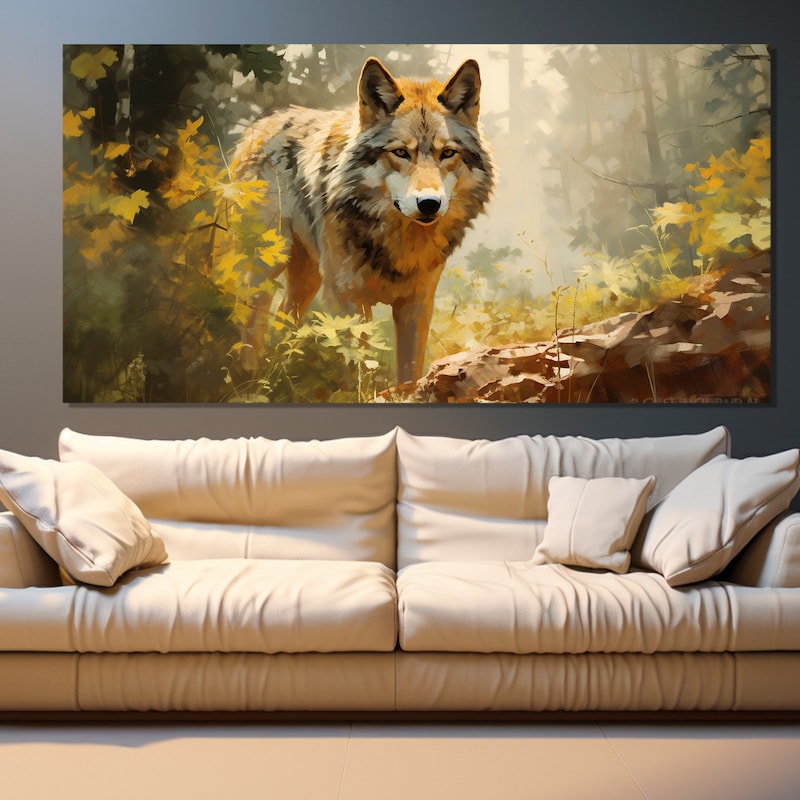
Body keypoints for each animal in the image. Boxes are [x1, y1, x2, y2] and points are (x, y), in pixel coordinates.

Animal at [227, 56, 494, 385]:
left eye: (447, 153)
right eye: (400, 152)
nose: (429, 204)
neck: (398, 243)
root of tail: (259, 127)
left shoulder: (418, 303)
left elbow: (409, 369)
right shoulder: (347, 299)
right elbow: (355, 366)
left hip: (308, 276)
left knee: (286, 313)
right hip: (268, 264)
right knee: (253, 318)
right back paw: (250, 377)